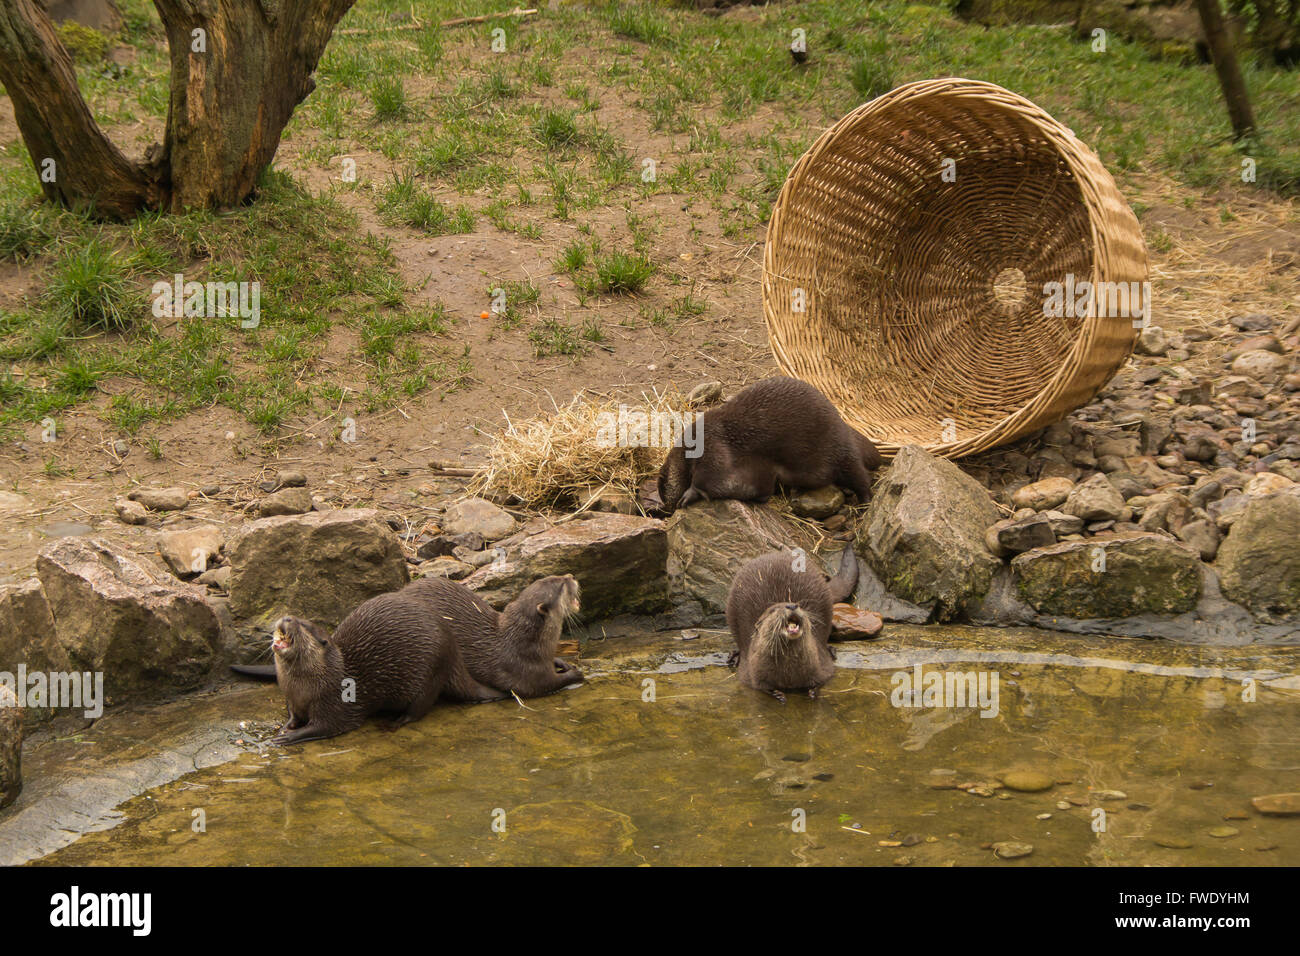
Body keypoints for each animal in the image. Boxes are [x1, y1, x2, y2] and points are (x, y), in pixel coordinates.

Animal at [657, 377, 881, 512]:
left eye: (664, 490)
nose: (667, 509)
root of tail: (844, 425)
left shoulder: (712, 444)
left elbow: (709, 475)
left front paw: (689, 494)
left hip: (840, 449)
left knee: (860, 476)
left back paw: (865, 502)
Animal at [726, 548, 858, 702]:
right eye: (773, 610)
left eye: (799, 605)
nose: (792, 605)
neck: (789, 674)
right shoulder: (752, 673)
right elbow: (760, 687)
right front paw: (777, 694)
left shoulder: (822, 665)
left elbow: (822, 680)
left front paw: (812, 691)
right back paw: (735, 655)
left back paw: (830, 649)